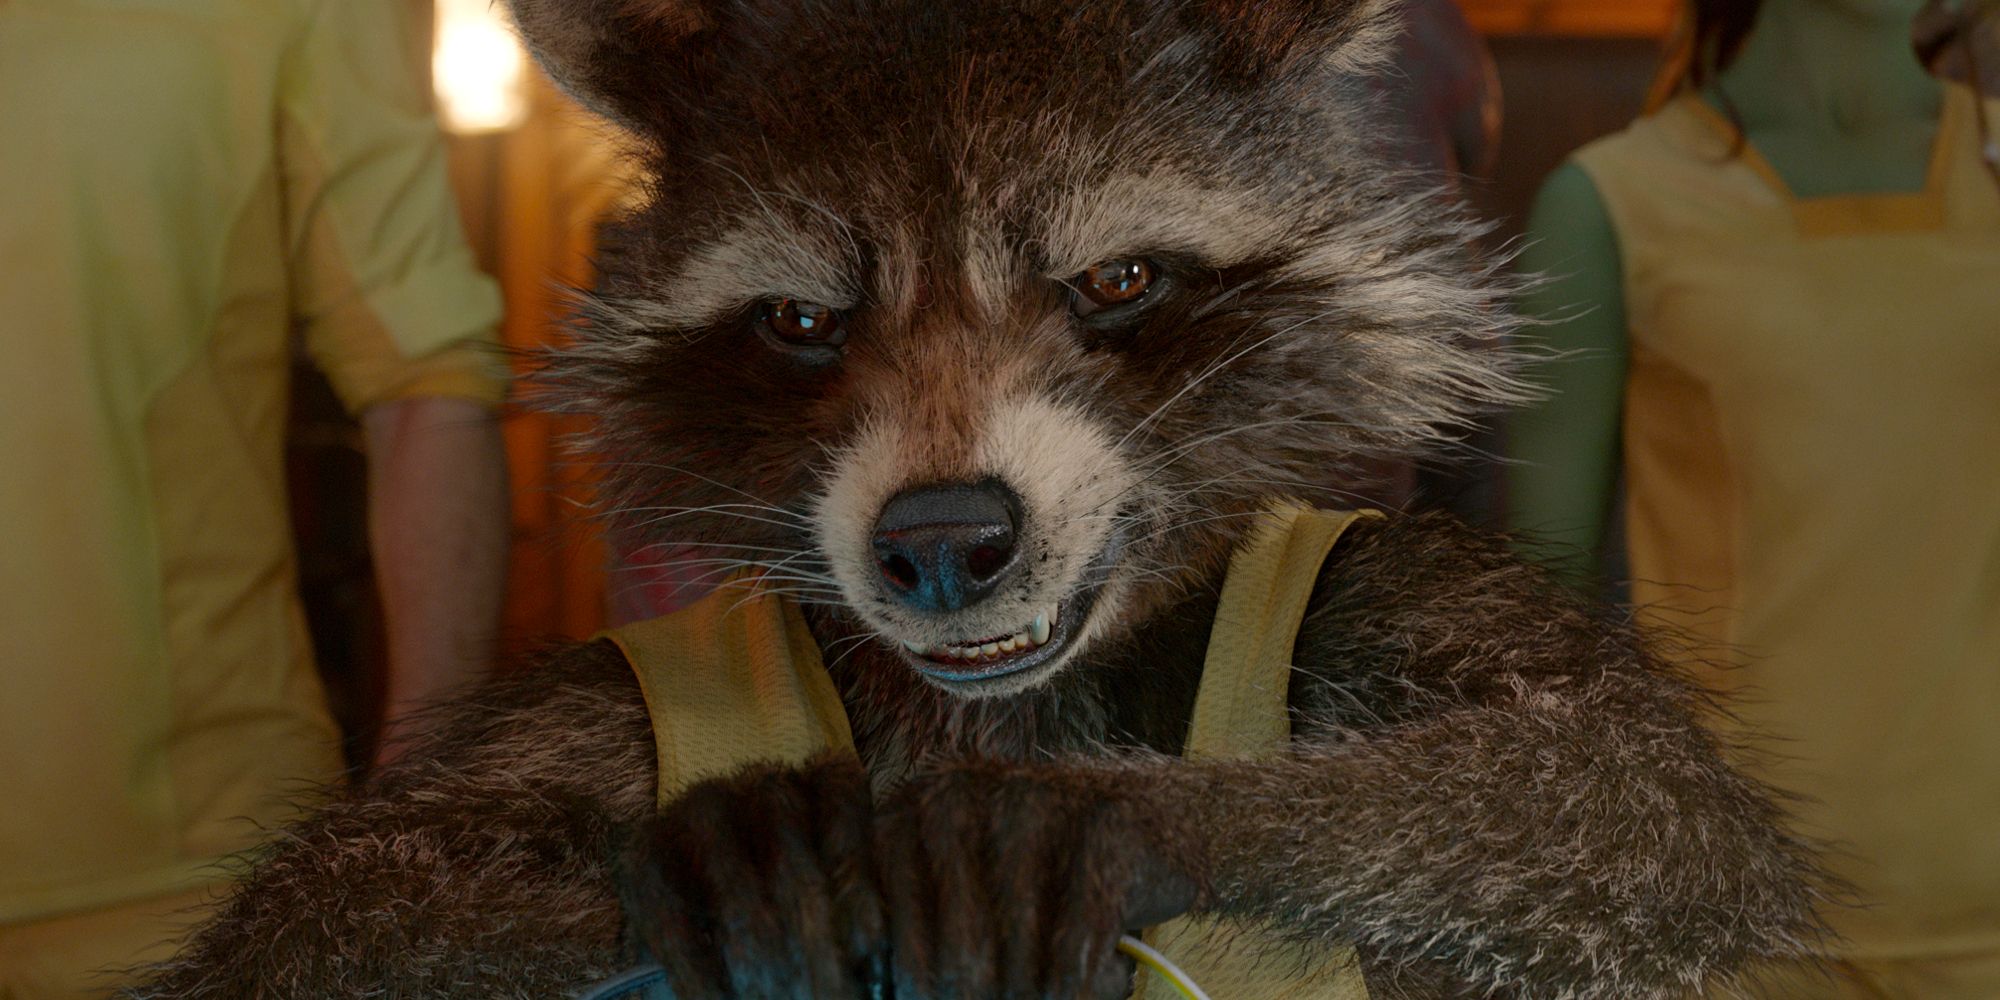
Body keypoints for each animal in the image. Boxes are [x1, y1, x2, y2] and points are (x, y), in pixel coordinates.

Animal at [128, 0, 1830, 997]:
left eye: (1118, 280)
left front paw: (1131, 810)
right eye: (802, 322)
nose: (941, 541)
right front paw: (690, 849)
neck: (1005, 703)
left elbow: (1648, 796)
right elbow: (320, 914)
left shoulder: (1371, 576)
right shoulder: (619, 685)